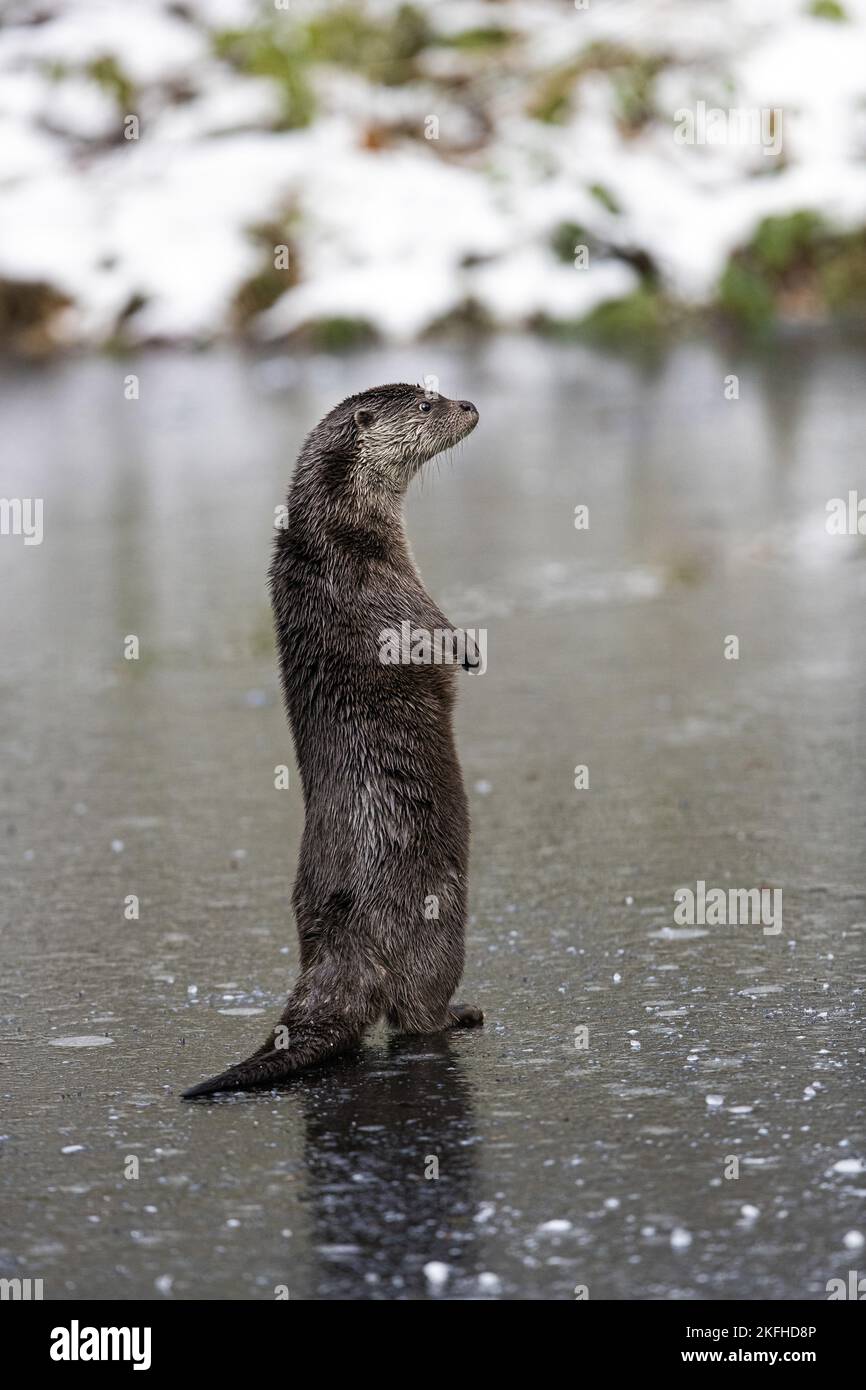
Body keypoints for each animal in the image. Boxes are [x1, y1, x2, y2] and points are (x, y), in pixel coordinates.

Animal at [183, 383, 482, 1098]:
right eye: (426, 405)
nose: (468, 406)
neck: (339, 539)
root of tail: (341, 942)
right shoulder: (385, 587)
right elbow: (431, 628)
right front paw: (467, 648)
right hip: (440, 920)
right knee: (414, 1012)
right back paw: (460, 1013)